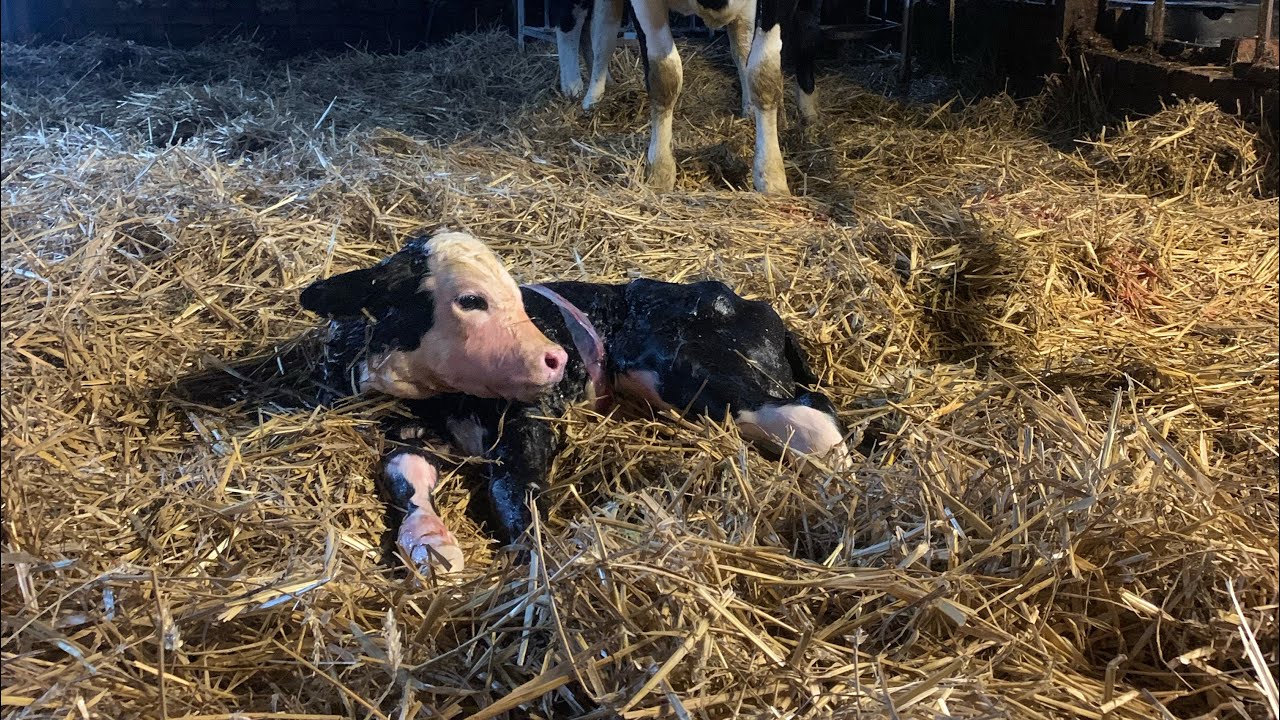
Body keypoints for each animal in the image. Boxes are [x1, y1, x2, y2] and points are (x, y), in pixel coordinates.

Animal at [301, 230, 851, 575]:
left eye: (517, 297)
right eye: (471, 300)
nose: (558, 358)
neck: (440, 398)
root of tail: (750, 302)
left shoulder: (530, 417)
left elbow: (514, 488)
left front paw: (541, 560)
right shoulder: (404, 429)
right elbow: (403, 474)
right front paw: (432, 547)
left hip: (701, 374)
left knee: (810, 413)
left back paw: (839, 484)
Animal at [551, 0, 821, 195]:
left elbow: (763, 71)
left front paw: (771, 177)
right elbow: (664, 75)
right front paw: (660, 171)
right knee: (579, 25)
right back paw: (581, 92)